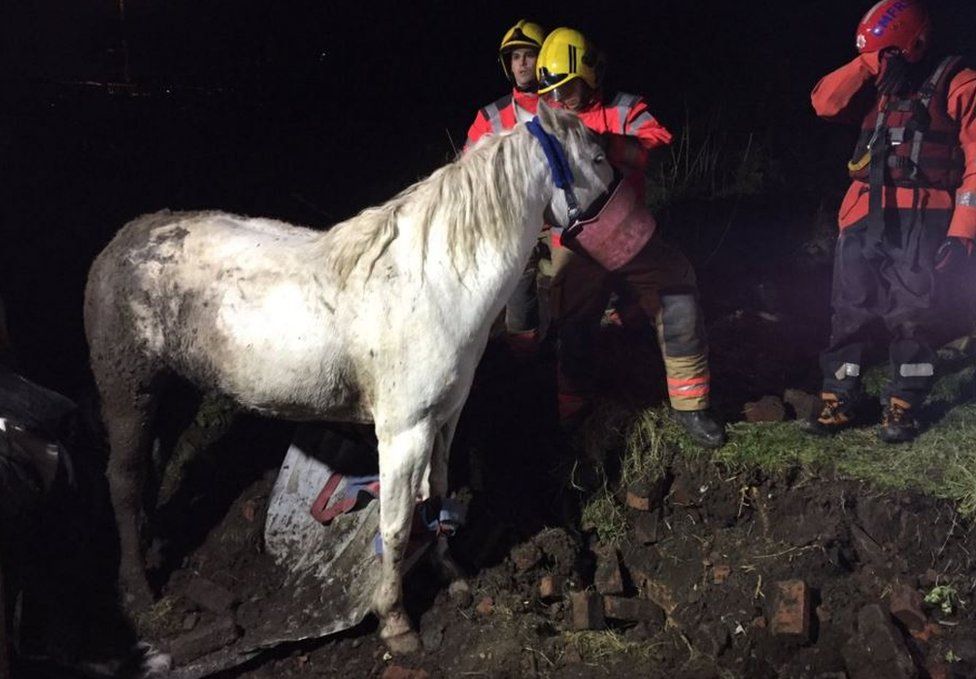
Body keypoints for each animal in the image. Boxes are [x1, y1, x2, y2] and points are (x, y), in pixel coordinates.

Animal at [83, 102, 613, 654]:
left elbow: (438, 495)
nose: (613, 210)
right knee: (124, 480)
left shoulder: (444, 418)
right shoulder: (403, 434)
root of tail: (120, 244)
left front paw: (451, 573)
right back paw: (139, 591)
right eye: (597, 157)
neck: (437, 282)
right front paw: (396, 620)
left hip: (174, 392)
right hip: (129, 393)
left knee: (152, 468)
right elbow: (397, 525)